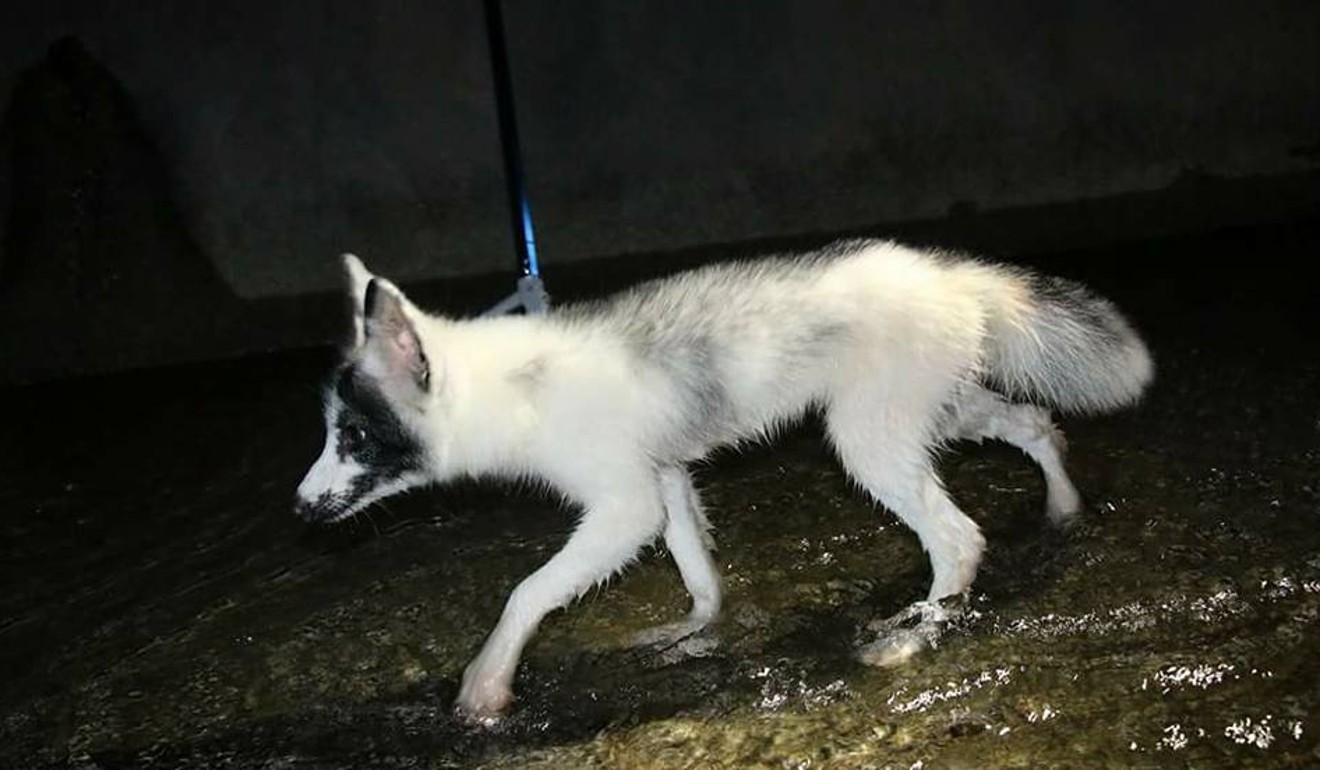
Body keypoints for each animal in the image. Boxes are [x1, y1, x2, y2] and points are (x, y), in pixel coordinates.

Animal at [294, 238, 1153, 720]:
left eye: (355, 436)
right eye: (332, 430)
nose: (300, 509)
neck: (513, 386)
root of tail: (952, 274)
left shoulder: (624, 506)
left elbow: (526, 594)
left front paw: (485, 686)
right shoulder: (666, 479)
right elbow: (698, 570)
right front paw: (695, 631)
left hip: (869, 442)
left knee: (958, 538)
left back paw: (918, 632)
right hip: (932, 415)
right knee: (1035, 424)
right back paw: (1064, 508)